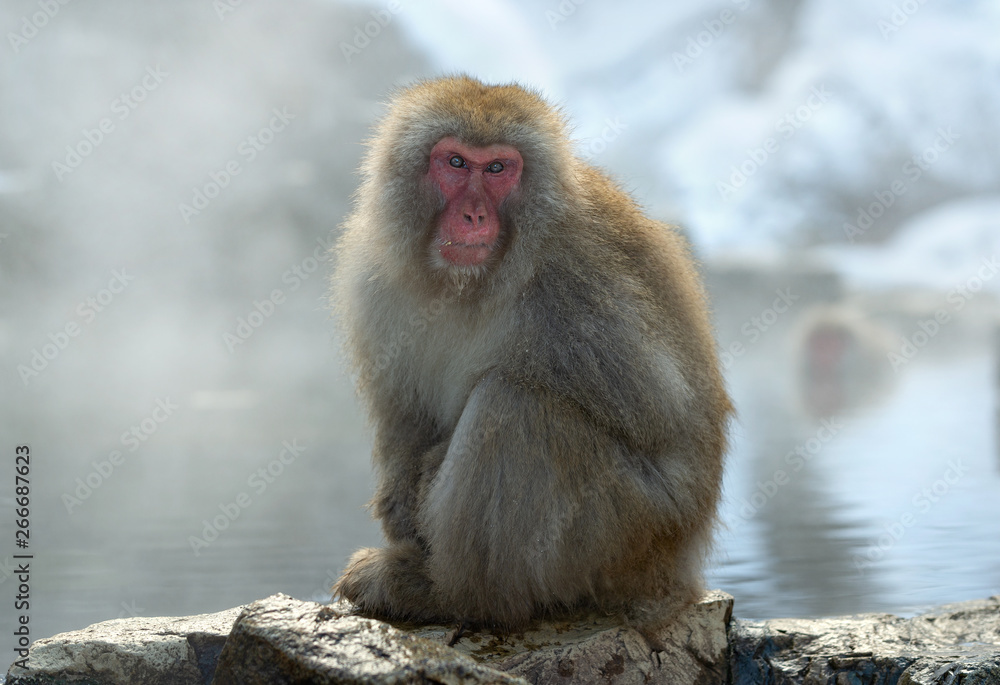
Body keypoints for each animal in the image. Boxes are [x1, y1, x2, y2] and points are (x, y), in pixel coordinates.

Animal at [331, 76, 732, 635]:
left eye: (499, 169)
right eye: (456, 162)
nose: (473, 215)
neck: (471, 282)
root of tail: (683, 566)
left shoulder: (580, 283)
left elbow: (659, 414)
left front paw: (429, 475)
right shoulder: (378, 279)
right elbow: (403, 406)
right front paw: (400, 501)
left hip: (630, 530)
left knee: (511, 408)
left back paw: (452, 595)